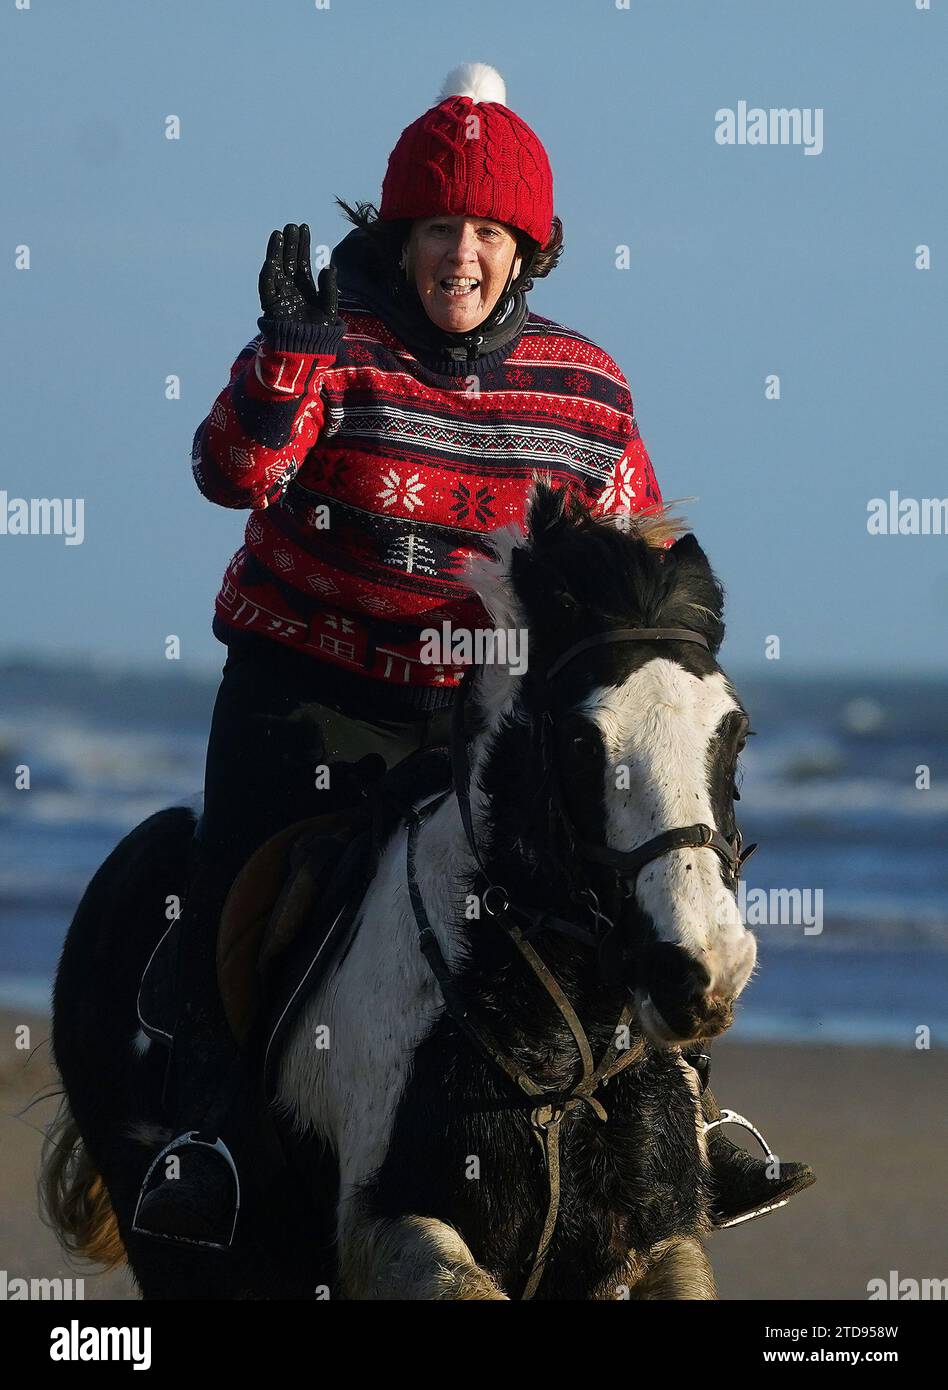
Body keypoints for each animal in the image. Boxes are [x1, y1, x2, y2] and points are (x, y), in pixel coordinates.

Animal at [42, 480, 759, 1300]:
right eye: (582, 740)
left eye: (736, 733)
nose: (700, 969)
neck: (559, 1064)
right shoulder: (392, 1228)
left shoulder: (656, 1240)